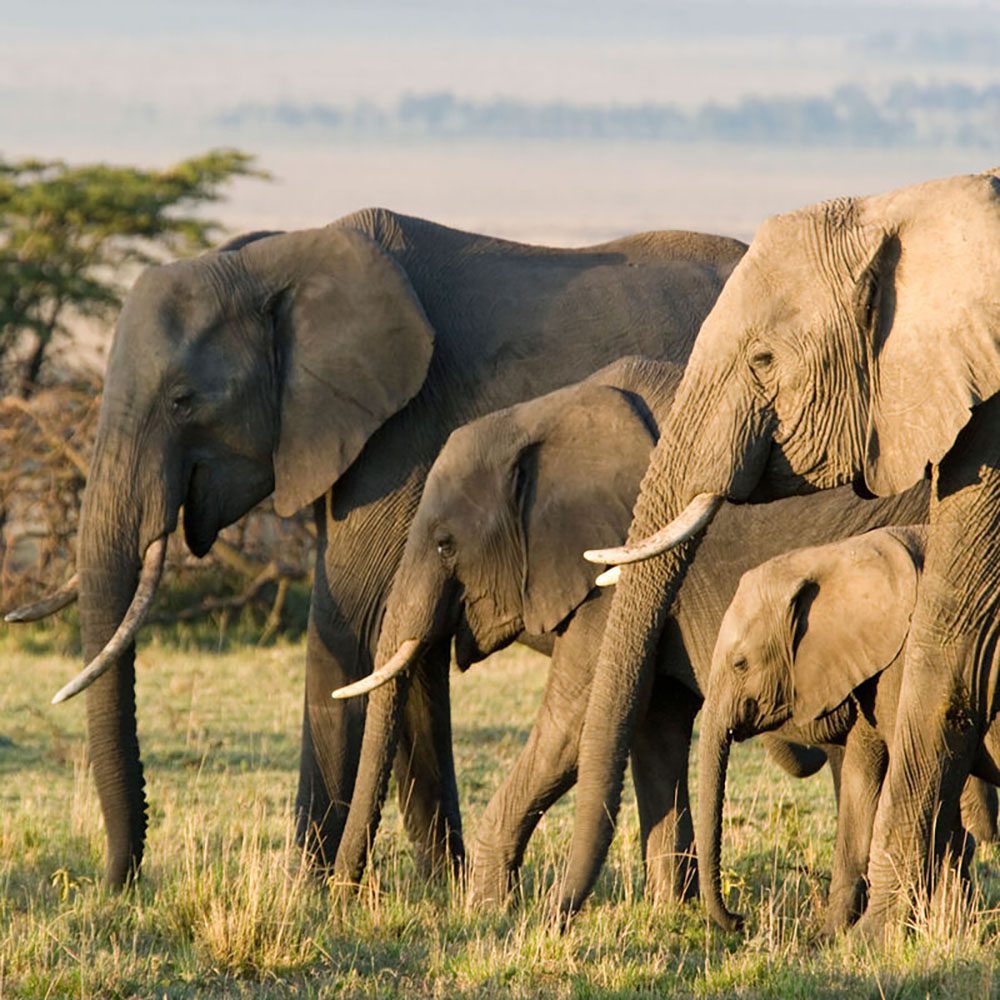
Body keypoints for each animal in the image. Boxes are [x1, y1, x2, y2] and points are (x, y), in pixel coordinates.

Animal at [23, 215, 752, 888]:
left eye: (182, 401)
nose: (117, 883)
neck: (277, 259)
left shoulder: (398, 435)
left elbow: (354, 622)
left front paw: (306, 892)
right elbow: (408, 651)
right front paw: (438, 887)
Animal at [334, 354, 928, 900]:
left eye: (444, 545)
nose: (343, 894)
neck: (545, 414)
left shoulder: (613, 571)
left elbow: (573, 725)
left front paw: (489, 911)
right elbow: (653, 724)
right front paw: (670, 913)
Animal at [700, 524, 996, 936]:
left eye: (741, 664)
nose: (739, 920)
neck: (835, 556)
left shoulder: (907, 659)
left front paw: (945, 930)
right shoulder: (870, 667)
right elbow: (861, 777)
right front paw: (830, 937)